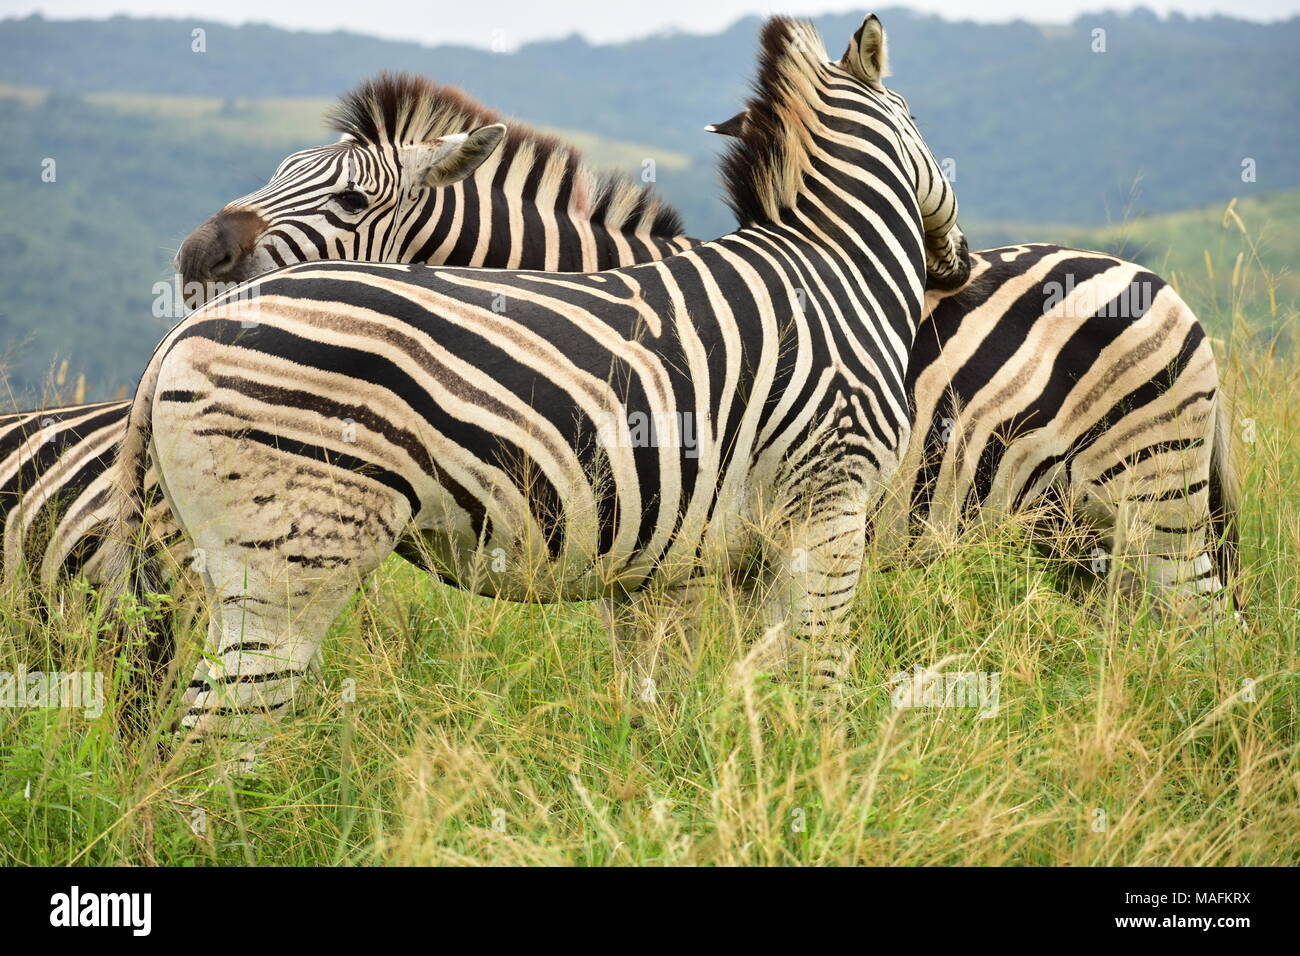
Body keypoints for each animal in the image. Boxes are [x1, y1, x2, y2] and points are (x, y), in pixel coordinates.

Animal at [100, 13, 970, 744]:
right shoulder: (827, 503)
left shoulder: (688, 554)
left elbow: (698, 688)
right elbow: (818, 676)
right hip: (290, 561)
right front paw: (816, 781)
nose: (194, 257)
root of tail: (176, 340)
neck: (834, 268)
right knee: (219, 734)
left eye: (349, 196)